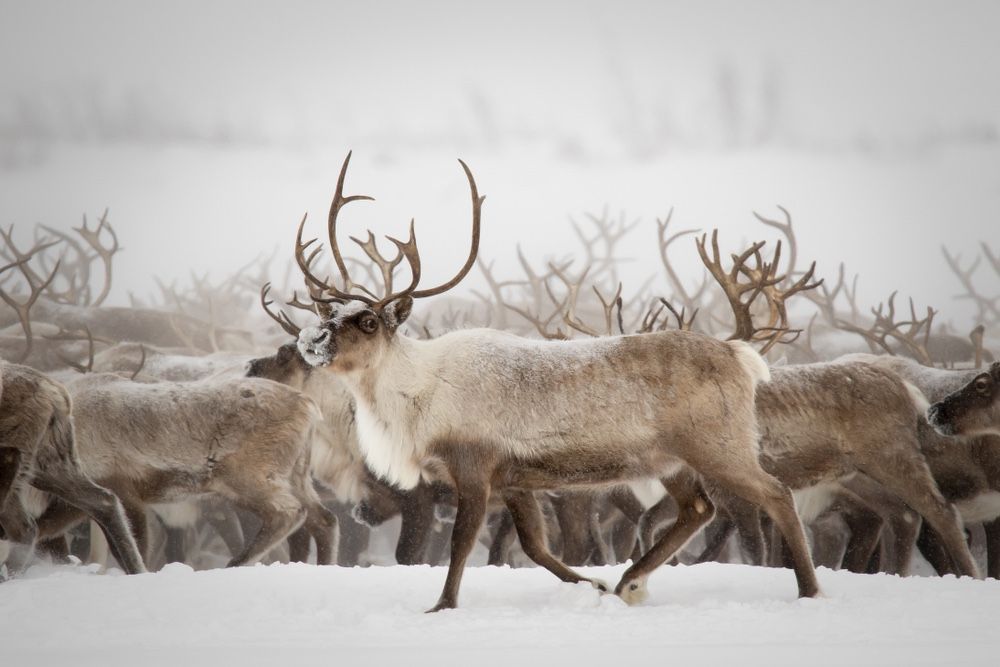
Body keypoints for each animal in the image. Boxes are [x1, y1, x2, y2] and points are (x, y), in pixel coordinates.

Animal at [284, 152, 819, 611]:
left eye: (368, 321)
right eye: (329, 311)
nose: (311, 339)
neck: (416, 396)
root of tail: (740, 354)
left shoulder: (474, 465)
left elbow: (462, 542)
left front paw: (443, 605)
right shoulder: (515, 479)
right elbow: (535, 547)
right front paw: (594, 584)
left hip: (719, 446)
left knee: (776, 494)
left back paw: (809, 590)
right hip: (671, 459)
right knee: (697, 509)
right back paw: (629, 582)